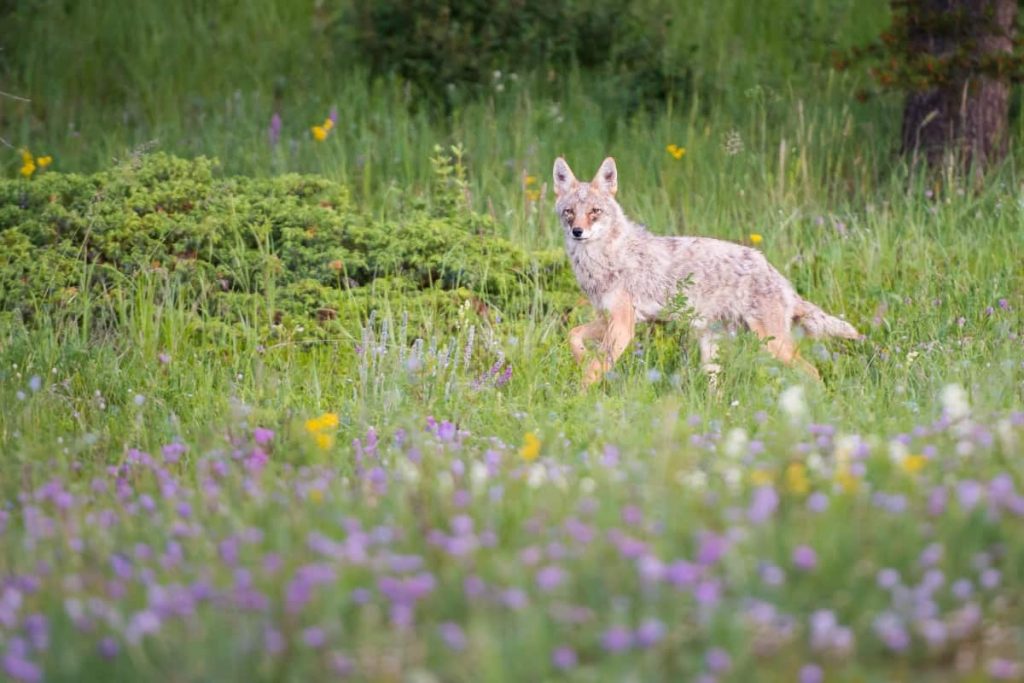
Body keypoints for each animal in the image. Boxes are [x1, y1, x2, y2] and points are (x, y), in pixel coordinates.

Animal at [552, 156, 861, 387]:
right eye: (569, 212)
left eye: (595, 211)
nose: (577, 232)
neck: (604, 259)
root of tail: (779, 277)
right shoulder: (612, 319)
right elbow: (574, 336)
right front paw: (579, 358)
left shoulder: (623, 327)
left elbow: (593, 370)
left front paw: (578, 398)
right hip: (712, 350)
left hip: (773, 345)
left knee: (814, 373)